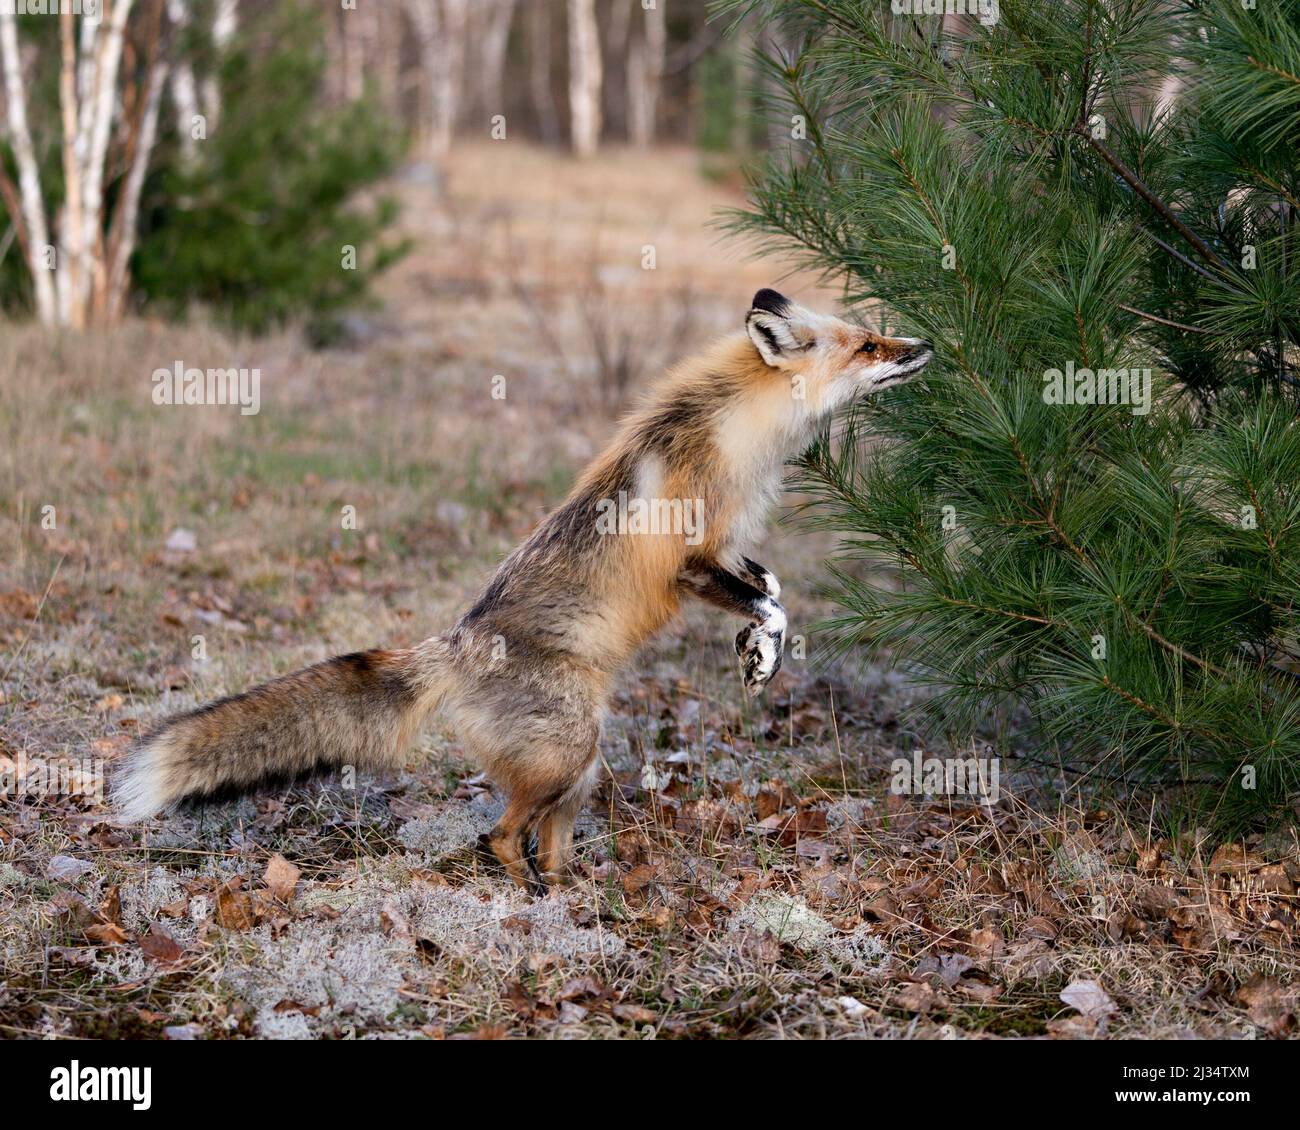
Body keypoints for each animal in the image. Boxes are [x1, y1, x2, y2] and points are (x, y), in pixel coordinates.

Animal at [113, 289, 932, 891]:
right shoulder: (690, 561)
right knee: (500, 837)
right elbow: (769, 599)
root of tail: (453, 647)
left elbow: (770, 585)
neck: (737, 435)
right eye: (867, 345)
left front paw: (756, 651)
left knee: (547, 839)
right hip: (568, 754)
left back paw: (573, 896)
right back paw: (529, 893)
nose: (923, 344)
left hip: (583, 765)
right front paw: (762, 649)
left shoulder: (729, 547)